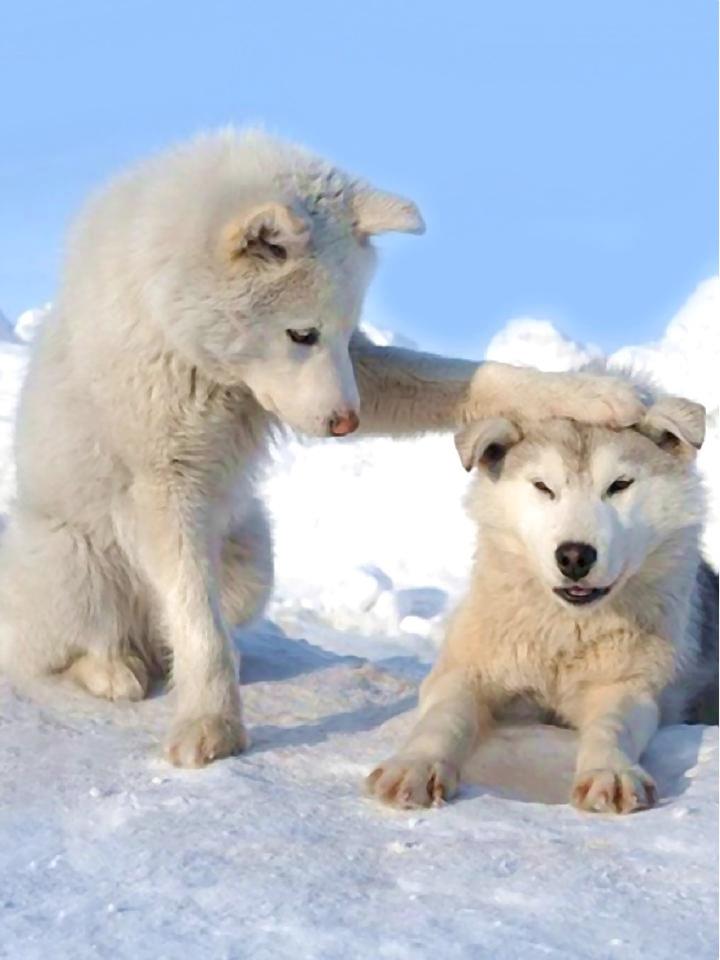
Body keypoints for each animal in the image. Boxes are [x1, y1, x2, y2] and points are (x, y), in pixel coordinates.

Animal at [0, 129, 643, 768]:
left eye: (343, 330)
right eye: (301, 333)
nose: (344, 422)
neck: (188, 341)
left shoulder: (359, 373)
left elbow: (479, 377)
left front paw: (597, 394)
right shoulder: (163, 484)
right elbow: (195, 619)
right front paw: (210, 724)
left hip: (252, 562)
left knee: (181, 632)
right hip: (75, 562)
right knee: (75, 644)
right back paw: (114, 669)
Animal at [367, 382, 717, 812]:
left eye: (619, 485)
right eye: (543, 487)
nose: (574, 556)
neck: (566, 634)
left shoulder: (629, 687)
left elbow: (612, 727)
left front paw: (610, 773)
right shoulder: (464, 671)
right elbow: (443, 716)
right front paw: (416, 765)